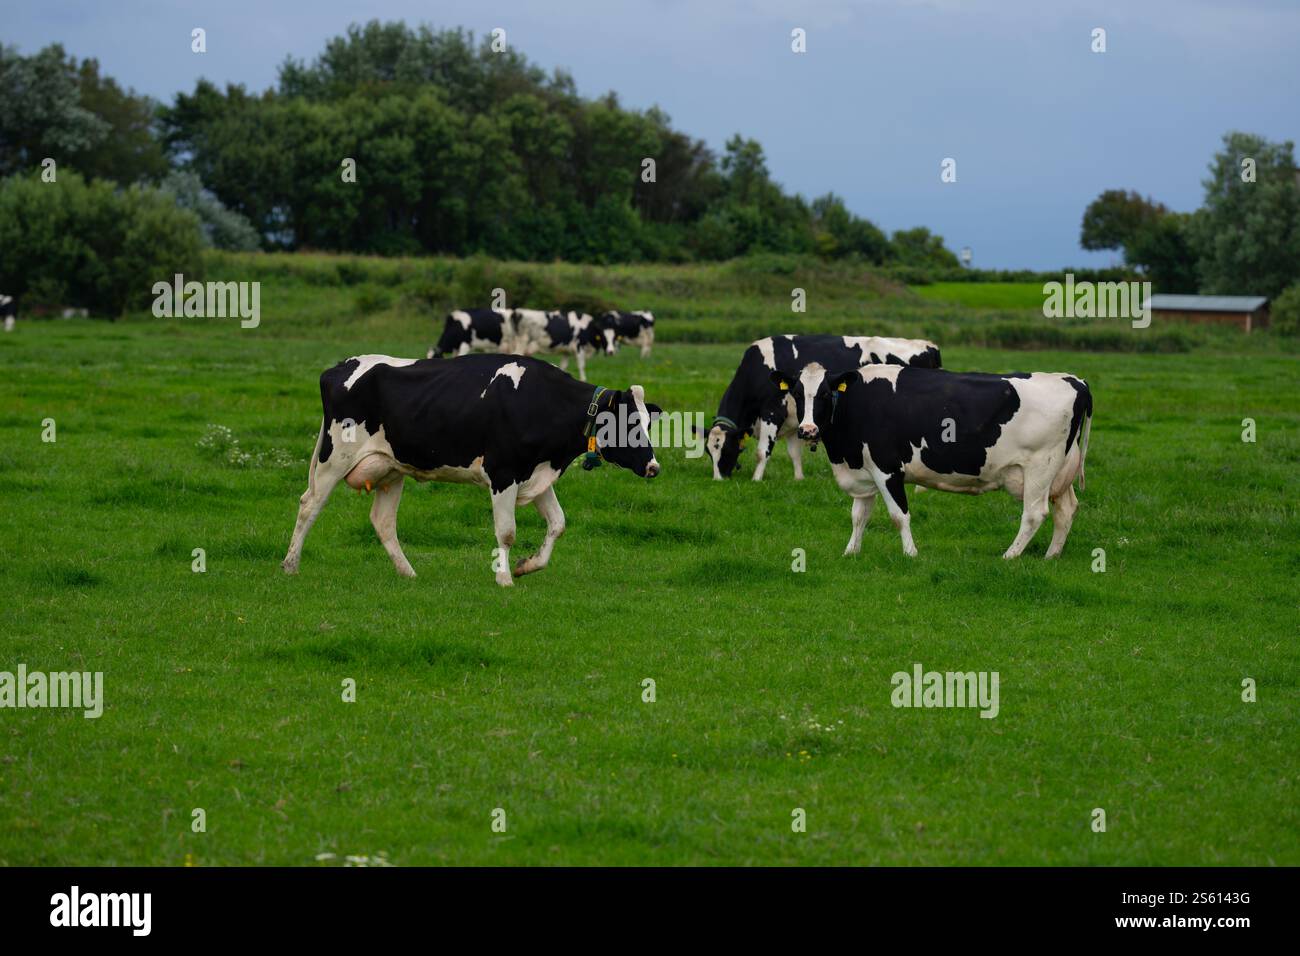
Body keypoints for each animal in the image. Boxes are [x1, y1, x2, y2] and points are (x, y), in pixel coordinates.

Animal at [281, 353, 661, 586]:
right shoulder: (504, 472)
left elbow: (558, 524)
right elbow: (507, 532)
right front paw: (504, 578)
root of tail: (341, 366)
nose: (654, 467)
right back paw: (290, 565)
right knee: (309, 505)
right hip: (335, 458)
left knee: (383, 522)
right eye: (629, 424)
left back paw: (408, 573)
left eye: (647, 423)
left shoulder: (535, 472)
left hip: (390, 468)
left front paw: (526, 565)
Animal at [704, 335, 942, 481]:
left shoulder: (772, 410)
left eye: (727, 449)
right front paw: (799, 478)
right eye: (709, 452)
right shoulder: (796, 421)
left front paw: (756, 479)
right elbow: (794, 453)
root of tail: (929, 345)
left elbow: (763, 451)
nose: (719, 479)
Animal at [769, 362, 1092, 560]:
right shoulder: (863, 469)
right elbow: (859, 515)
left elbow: (899, 516)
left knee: (1035, 513)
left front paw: (911, 554)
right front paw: (851, 552)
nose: (807, 430)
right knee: (1066, 510)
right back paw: (1051, 555)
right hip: (1060, 472)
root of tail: (1074, 380)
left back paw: (1009, 555)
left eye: (825, 394)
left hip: (1040, 466)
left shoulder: (887, 469)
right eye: (797, 393)